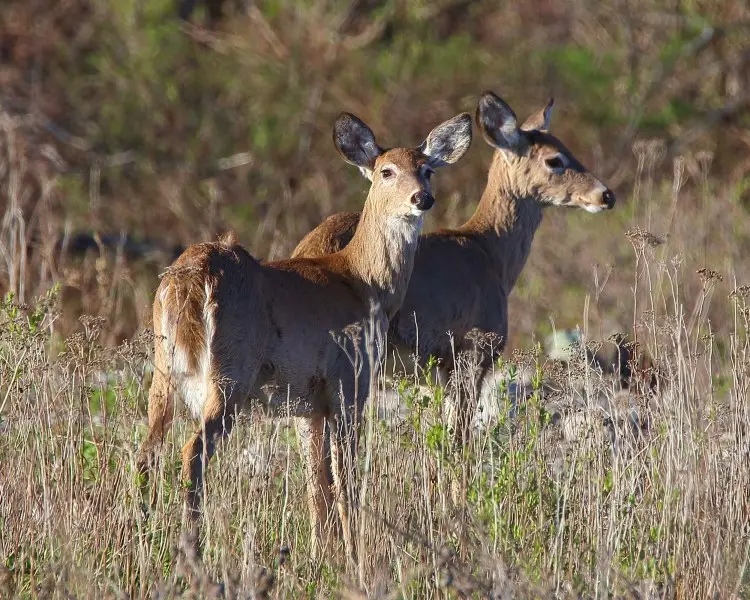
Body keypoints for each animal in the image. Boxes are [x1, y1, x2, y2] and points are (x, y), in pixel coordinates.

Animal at [136, 111, 473, 564]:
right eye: (387, 171)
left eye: (428, 169)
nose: (422, 199)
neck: (364, 282)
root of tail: (189, 276)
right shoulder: (349, 383)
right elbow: (346, 479)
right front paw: (355, 555)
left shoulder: (310, 403)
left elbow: (317, 480)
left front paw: (321, 555)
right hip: (229, 373)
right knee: (193, 452)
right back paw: (193, 549)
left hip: (163, 370)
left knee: (147, 451)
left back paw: (143, 536)